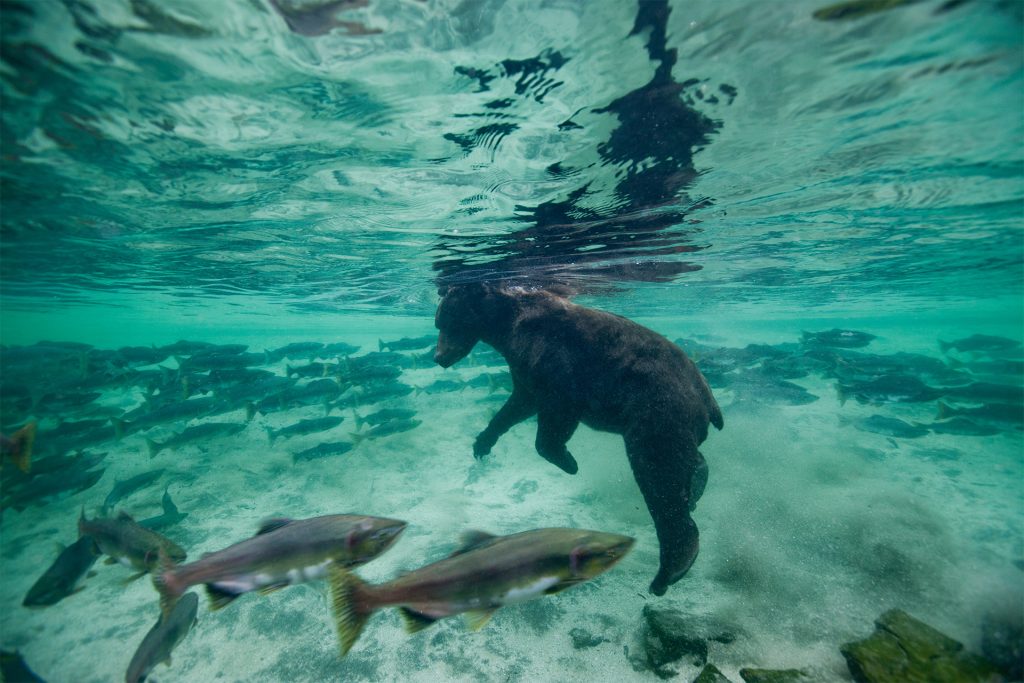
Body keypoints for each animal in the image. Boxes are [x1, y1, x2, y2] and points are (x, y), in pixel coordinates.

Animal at [433, 281, 724, 595]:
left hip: (658, 407)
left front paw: (568, 461)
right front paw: (482, 443)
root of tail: (709, 398)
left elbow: (554, 415)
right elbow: (517, 405)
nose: (438, 357)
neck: (506, 324)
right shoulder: (524, 371)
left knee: (659, 473)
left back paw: (669, 569)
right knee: (683, 460)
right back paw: (697, 483)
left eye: (444, 321)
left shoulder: (558, 363)